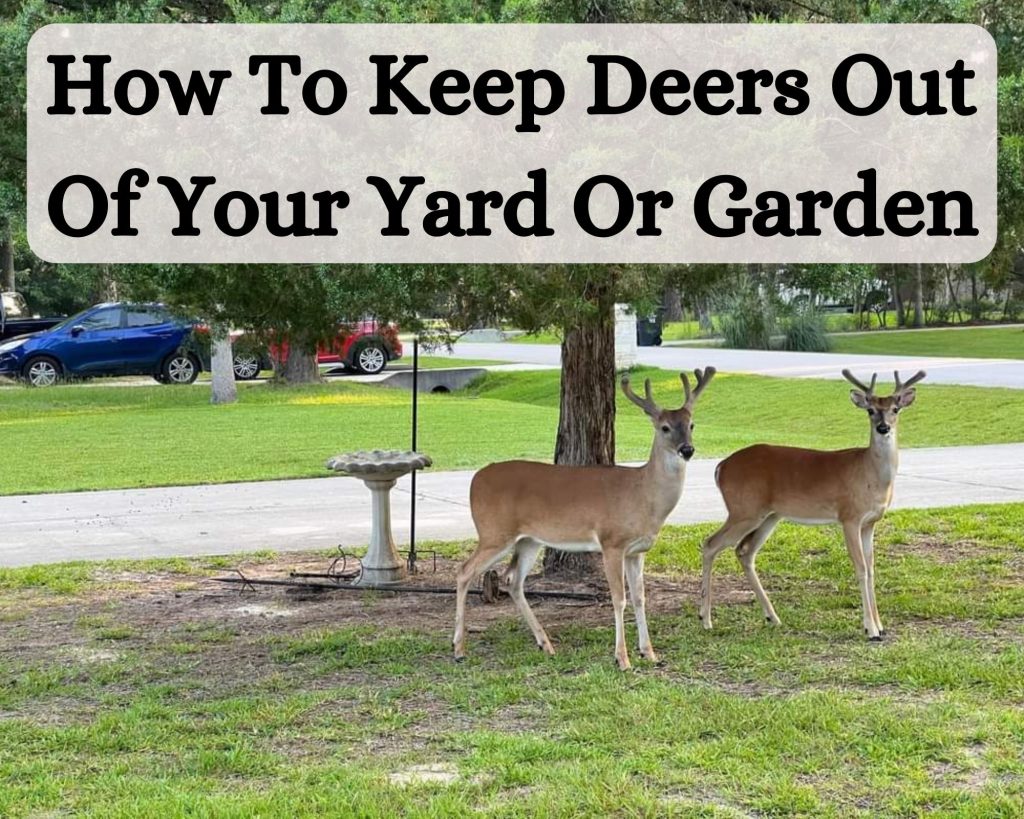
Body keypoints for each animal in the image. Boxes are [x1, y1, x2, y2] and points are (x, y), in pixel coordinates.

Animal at [452, 367, 717, 670]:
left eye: (691, 425)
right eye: (664, 427)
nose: (687, 450)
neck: (643, 494)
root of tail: (474, 480)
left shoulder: (637, 550)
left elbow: (640, 598)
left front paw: (649, 652)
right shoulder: (611, 541)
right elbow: (619, 599)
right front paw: (622, 658)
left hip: (528, 540)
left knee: (513, 581)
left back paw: (546, 644)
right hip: (494, 532)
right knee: (464, 572)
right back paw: (459, 649)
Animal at [698, 369, 926, 641]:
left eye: (895, 408)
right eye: (870, 410)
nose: (883, 428)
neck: (870, 475)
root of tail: (720, 467)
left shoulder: (870, 522)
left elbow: (871, 569)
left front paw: (881, 626)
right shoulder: (849, 516)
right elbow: (860, 568)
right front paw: (870, 629)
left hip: (769, 515)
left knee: (744, 551)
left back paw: (772, 617)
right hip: (743, 509)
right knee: (710, 544)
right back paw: (706, 619)